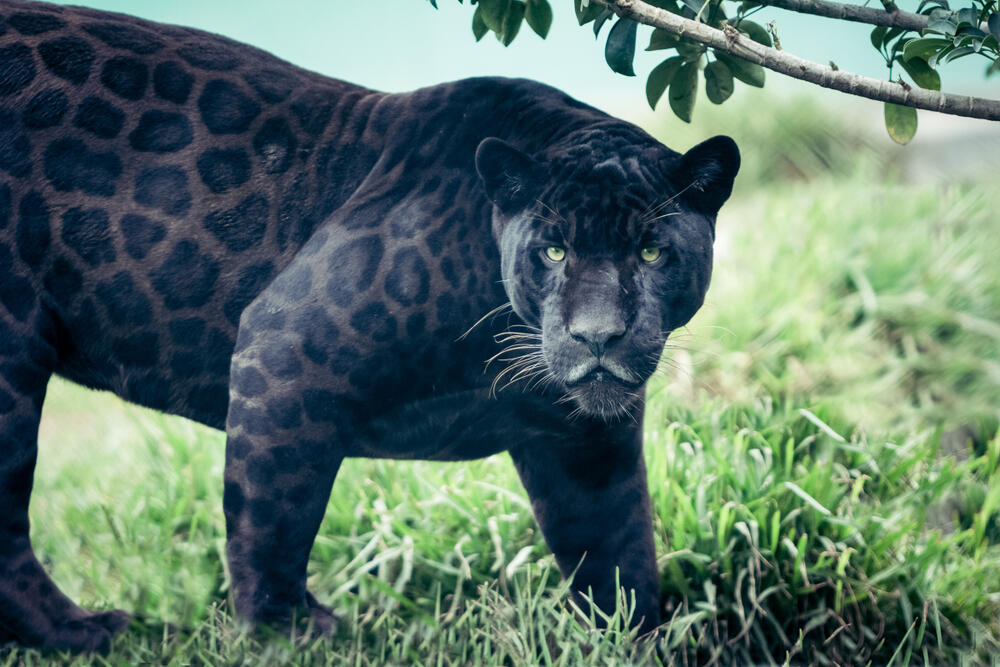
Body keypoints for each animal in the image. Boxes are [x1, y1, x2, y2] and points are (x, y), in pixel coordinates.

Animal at [0, 0, 740, 653]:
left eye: (651, 252)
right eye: (554, 251)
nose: (598, 336)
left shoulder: (586, 443)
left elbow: (620, 557)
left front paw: (634, 642)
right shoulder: (286, 348)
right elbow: (273, 514)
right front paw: (285, 633)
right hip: (12, 358)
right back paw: (87, 633)